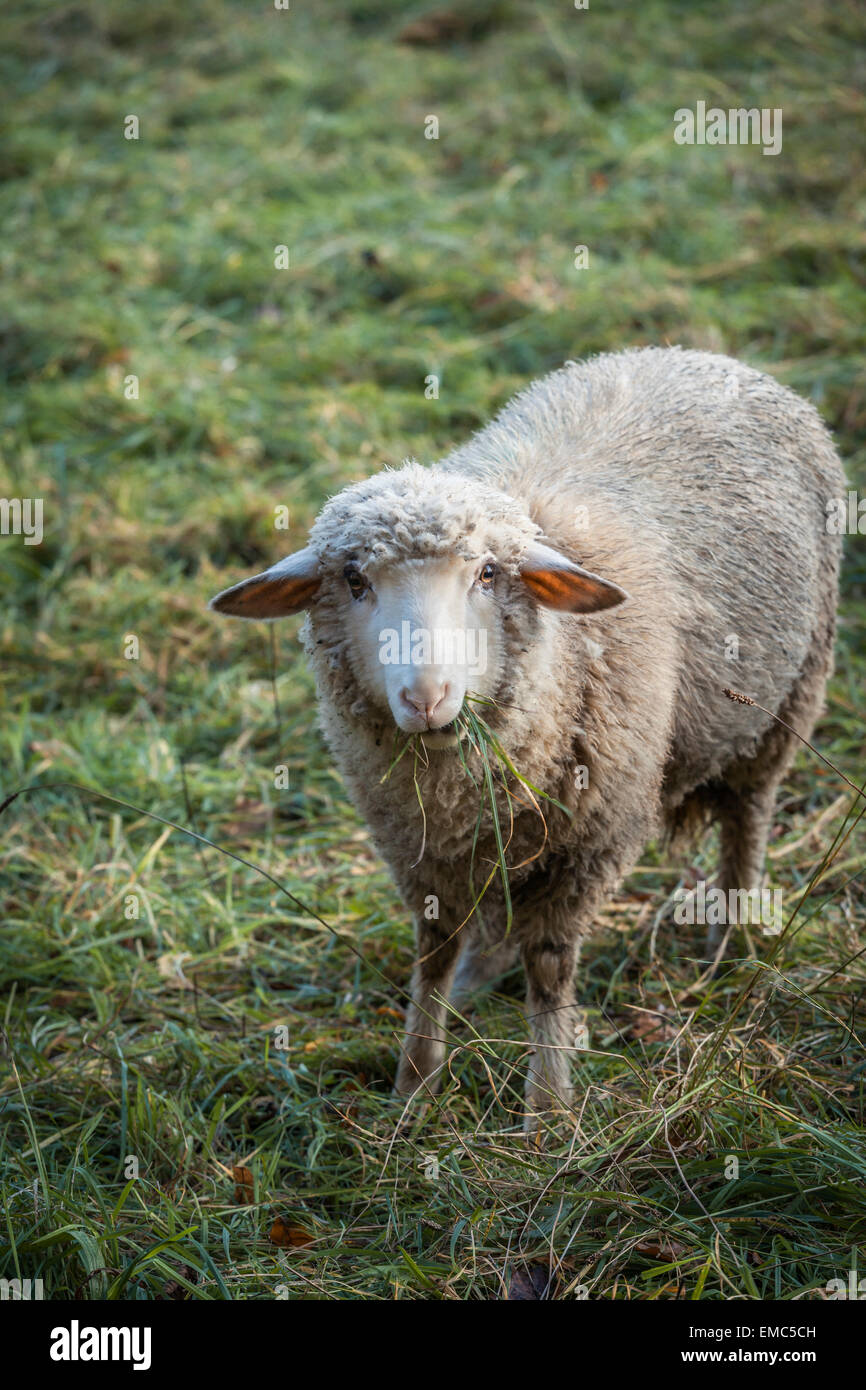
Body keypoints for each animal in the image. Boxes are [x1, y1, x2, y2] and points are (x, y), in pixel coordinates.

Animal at [210, 346, 845, 1129]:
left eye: (487, 573)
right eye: (355, 579)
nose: (425, 697)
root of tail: (700, 354)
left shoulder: (590, 844)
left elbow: (549, 967)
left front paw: (548, 1108)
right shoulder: (419, 847)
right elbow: (433, 953)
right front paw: (414, 1086)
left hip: (790, 699)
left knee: (747, 818)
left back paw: (730, 942)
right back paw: (481, 974)